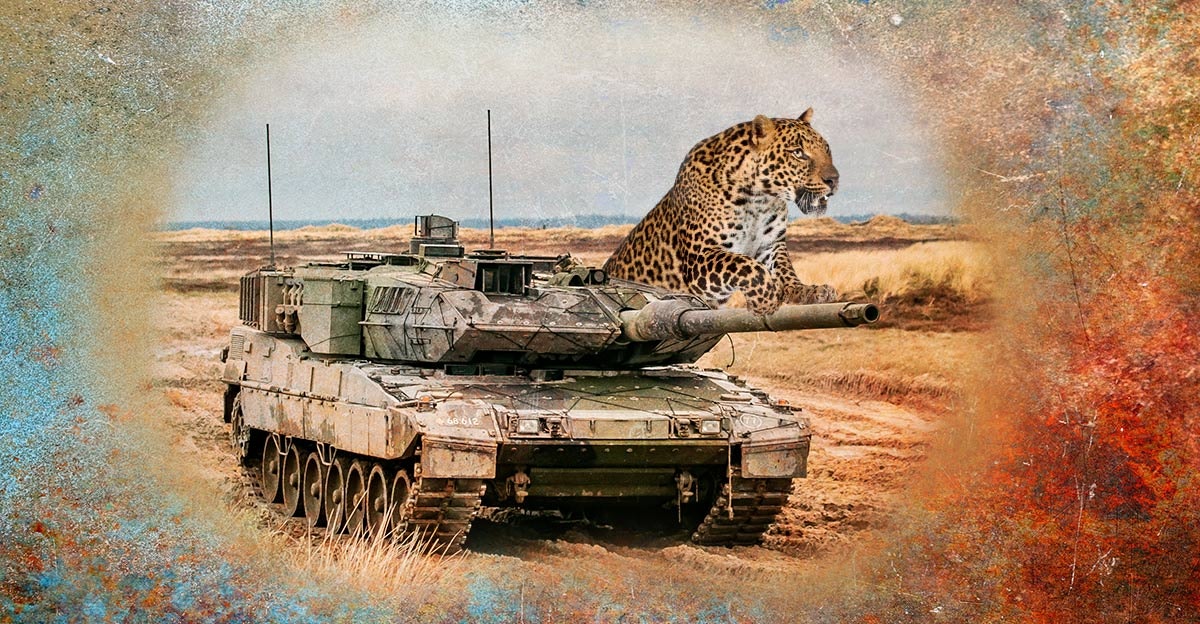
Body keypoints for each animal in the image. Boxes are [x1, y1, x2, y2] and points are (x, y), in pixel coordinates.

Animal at [602, 109, 840, 315]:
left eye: (827, 149)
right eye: (798, 153)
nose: (834, 179)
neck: (759, 199)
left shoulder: (771, 244)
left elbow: (784, 269)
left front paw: (807, 291)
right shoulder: (700, 257)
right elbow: (746, 265)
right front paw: (766, 299)